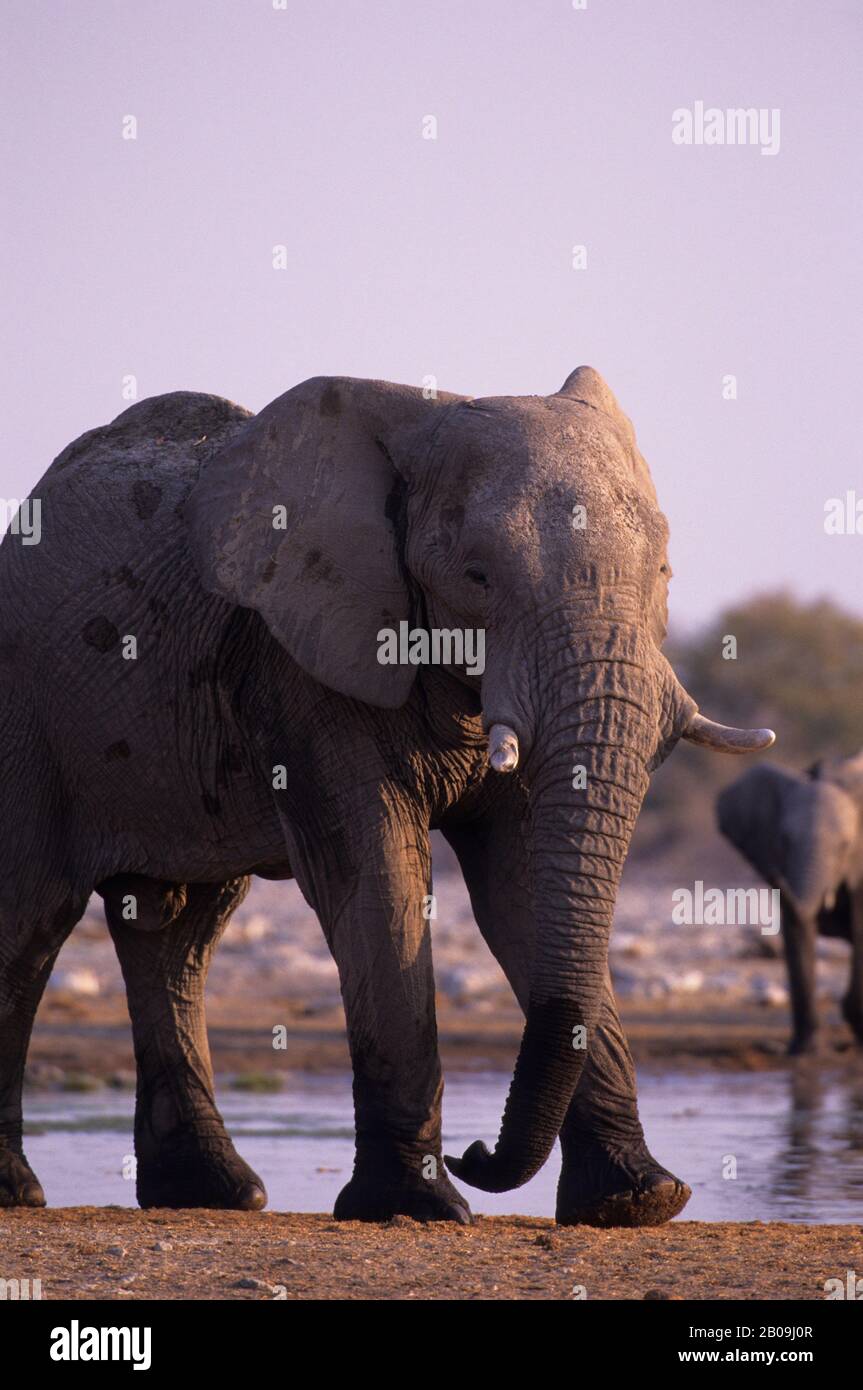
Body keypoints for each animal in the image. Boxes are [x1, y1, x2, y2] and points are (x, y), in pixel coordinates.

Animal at [0, 366, 773, 1225]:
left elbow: (520, 891)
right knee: (32, 918)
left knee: (178, 934)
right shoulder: (303, 666)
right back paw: (19, 1191)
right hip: (28, 711)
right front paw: (416, 1206)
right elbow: (378, 878)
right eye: (476, 577)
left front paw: (637, 1202)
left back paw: (214, 1195)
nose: (476, 1151)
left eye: (661, 574)